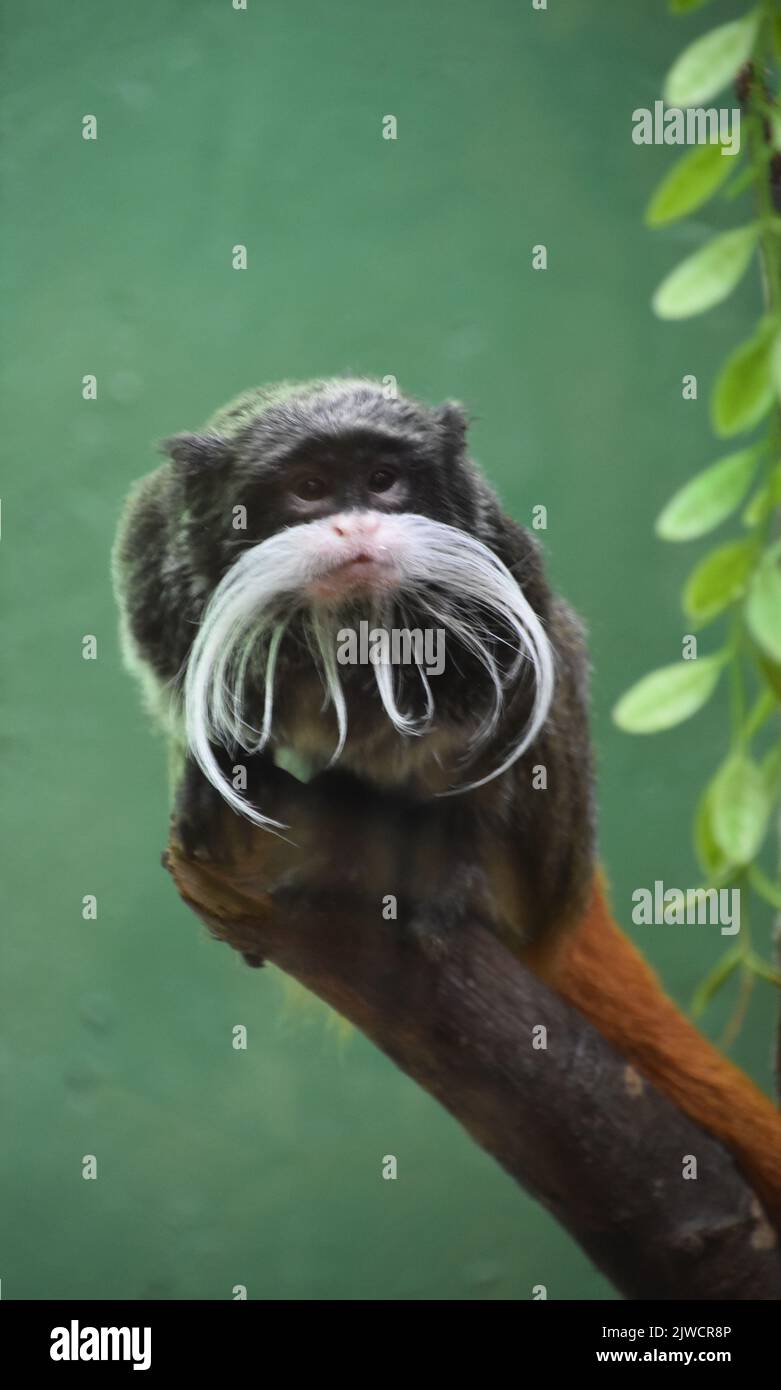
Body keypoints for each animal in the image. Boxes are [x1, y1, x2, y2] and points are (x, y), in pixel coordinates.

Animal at [113, 377, 781, 1229]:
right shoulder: (154, 568)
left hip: (547, 857)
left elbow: (515, 691)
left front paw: (444, 852)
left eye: (382, 481)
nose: (357, 525)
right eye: (309, 488)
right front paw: (225, 769)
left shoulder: (501, 564)